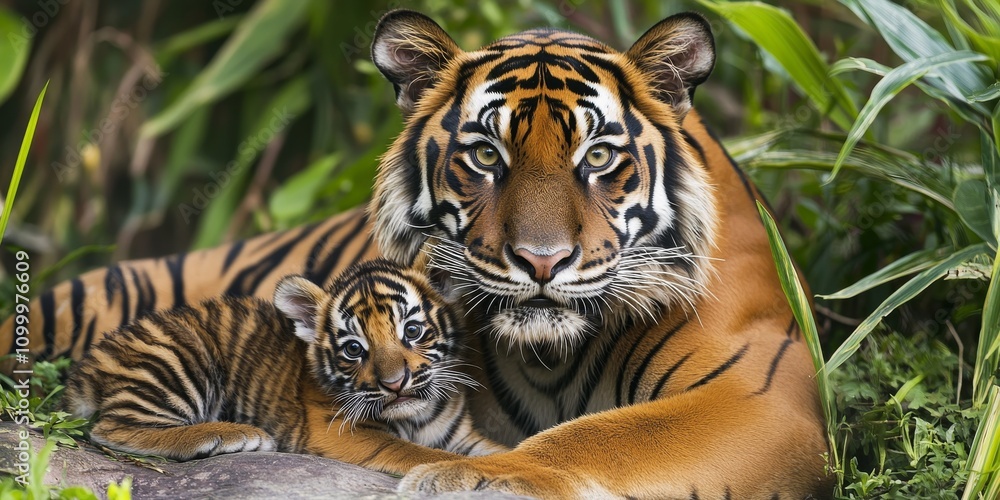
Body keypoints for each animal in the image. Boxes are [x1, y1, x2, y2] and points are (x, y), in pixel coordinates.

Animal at [62, 258, 505, 469]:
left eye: (412, 331)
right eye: (353, 350)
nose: (395, 383)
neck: (418, 415)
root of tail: (96, 355)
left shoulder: (462, 436)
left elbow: (495, 450)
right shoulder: (345, 433)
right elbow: (423, 455)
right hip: (181, 359)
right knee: (112, 428)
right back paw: (234, 434)